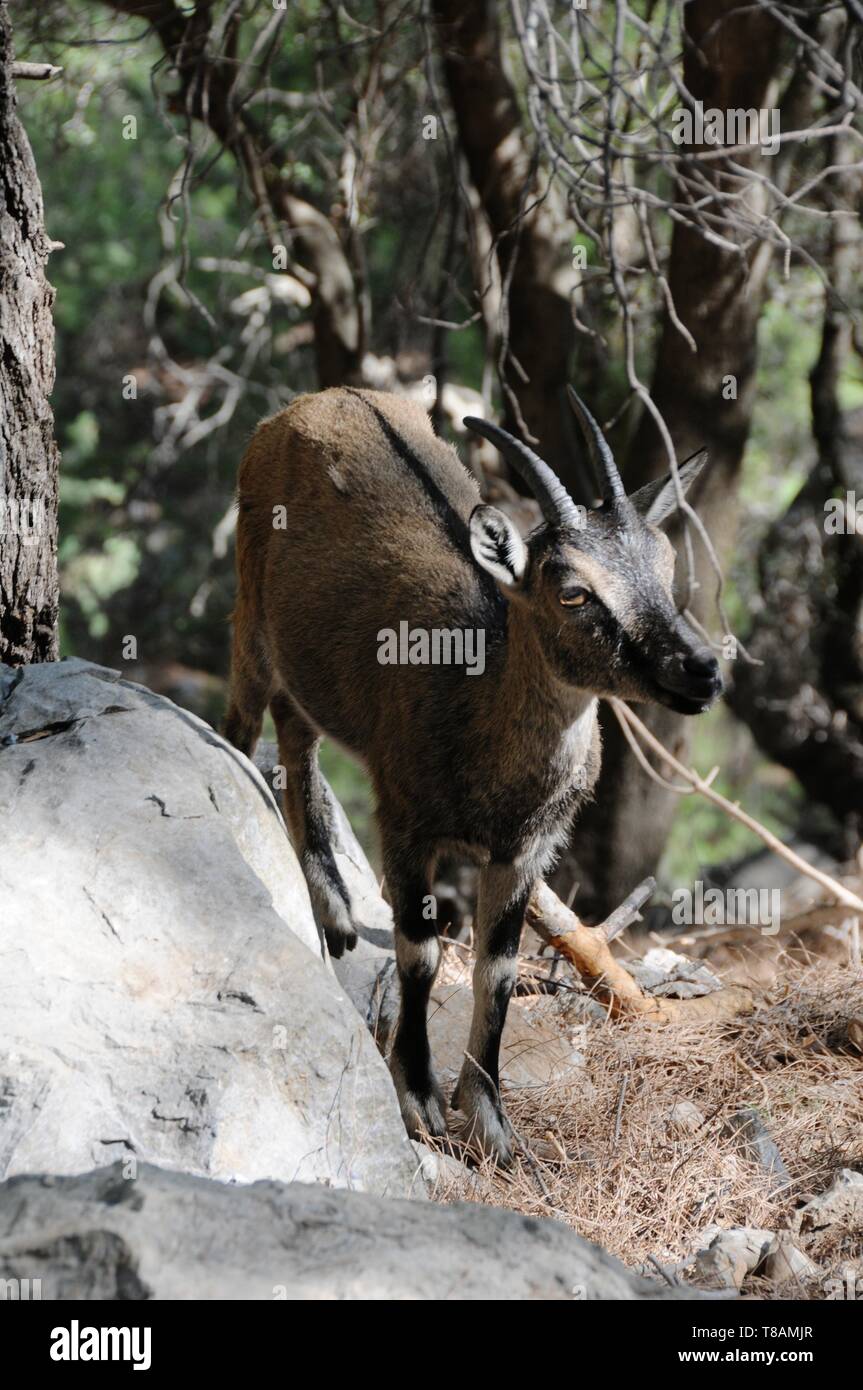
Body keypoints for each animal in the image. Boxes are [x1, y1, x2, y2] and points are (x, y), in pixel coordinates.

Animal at [224, 386, 723, 1164]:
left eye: (667, 566)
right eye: (574, 592)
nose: (700, 670)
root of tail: (313, 400)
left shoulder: (525, 850)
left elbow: (499, 969)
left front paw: (490, 1119)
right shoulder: (404, 820)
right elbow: (420, 954)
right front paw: (419, 1097)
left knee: (298, 735)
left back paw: (334, 913)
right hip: (251, 613)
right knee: (245, 723)